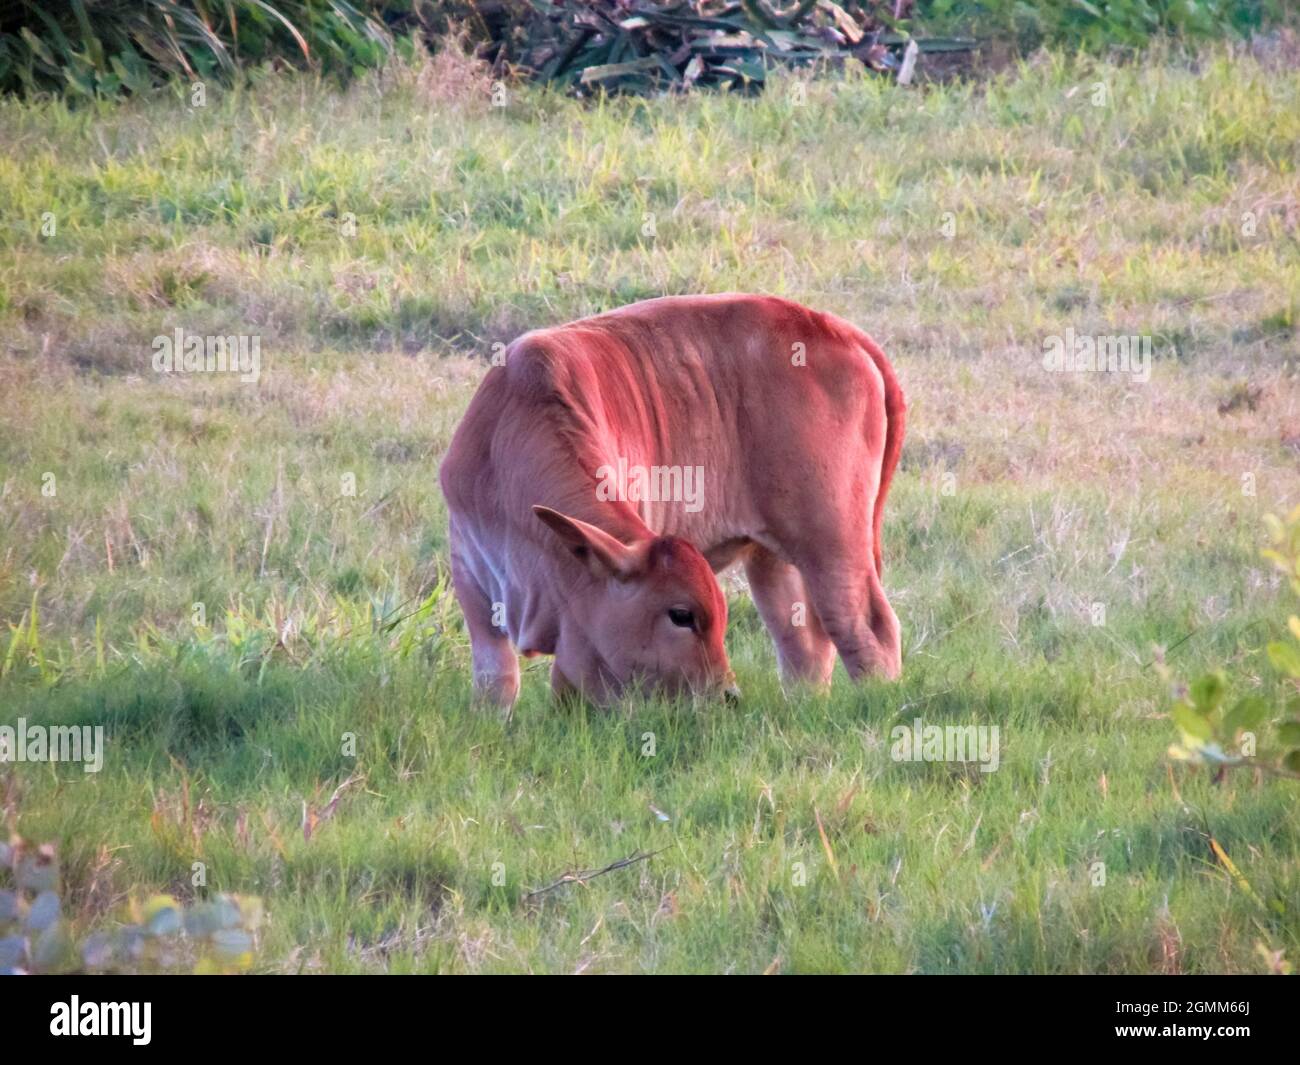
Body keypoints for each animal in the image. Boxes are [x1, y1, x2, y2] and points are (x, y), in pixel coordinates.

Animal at [439, 294, 905, 708]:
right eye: (681, 615)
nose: (726, 696)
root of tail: (835, 328)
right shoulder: (468, 569)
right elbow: (496, 679)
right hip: (775, 557)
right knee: (804, 641)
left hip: (831, 541)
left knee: (865, 628)